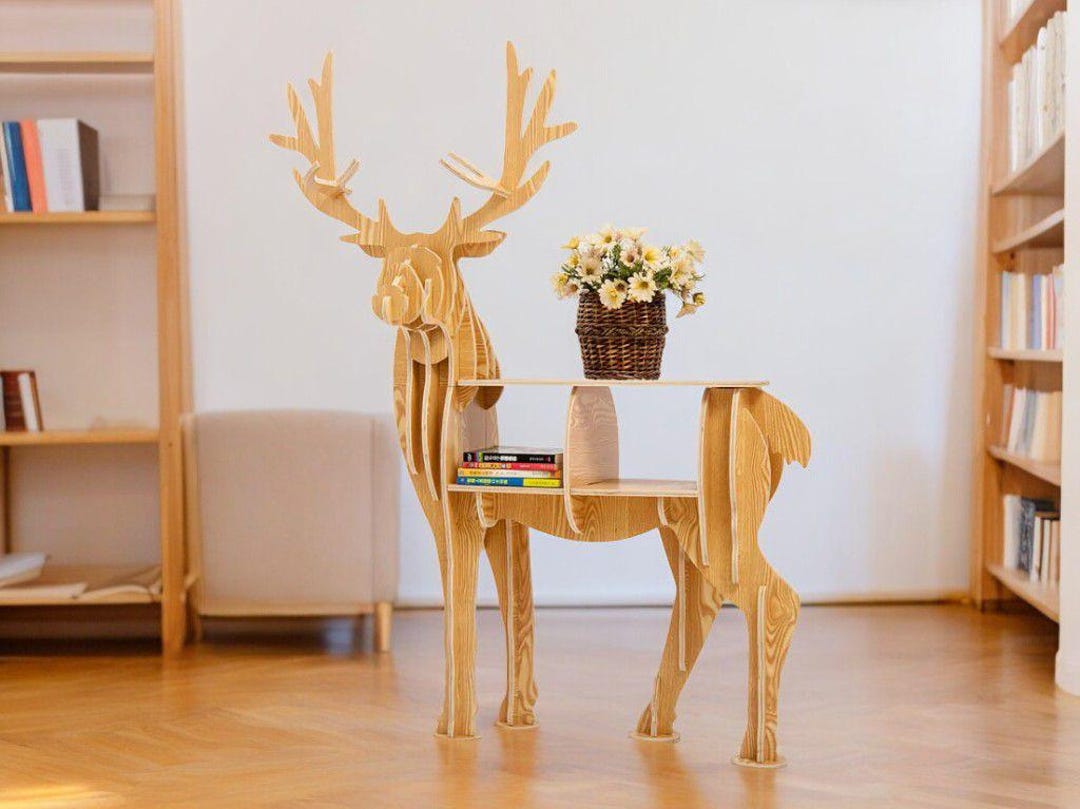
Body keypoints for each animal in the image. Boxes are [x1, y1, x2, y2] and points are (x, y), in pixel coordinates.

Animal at [272, 43, 811, 768]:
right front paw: (515, 716)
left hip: (733, 513)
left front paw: (455, 730)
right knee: (700, 602)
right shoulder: (505, 519)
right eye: (383, 257)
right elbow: (516, 605)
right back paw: (656, 728)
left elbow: (460, 614)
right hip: (687, 523)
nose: (391, 297)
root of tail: (787, 427)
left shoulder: (456, 514)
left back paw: (756, 753)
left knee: (772, 598)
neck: (432, 447)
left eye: (448, 257)